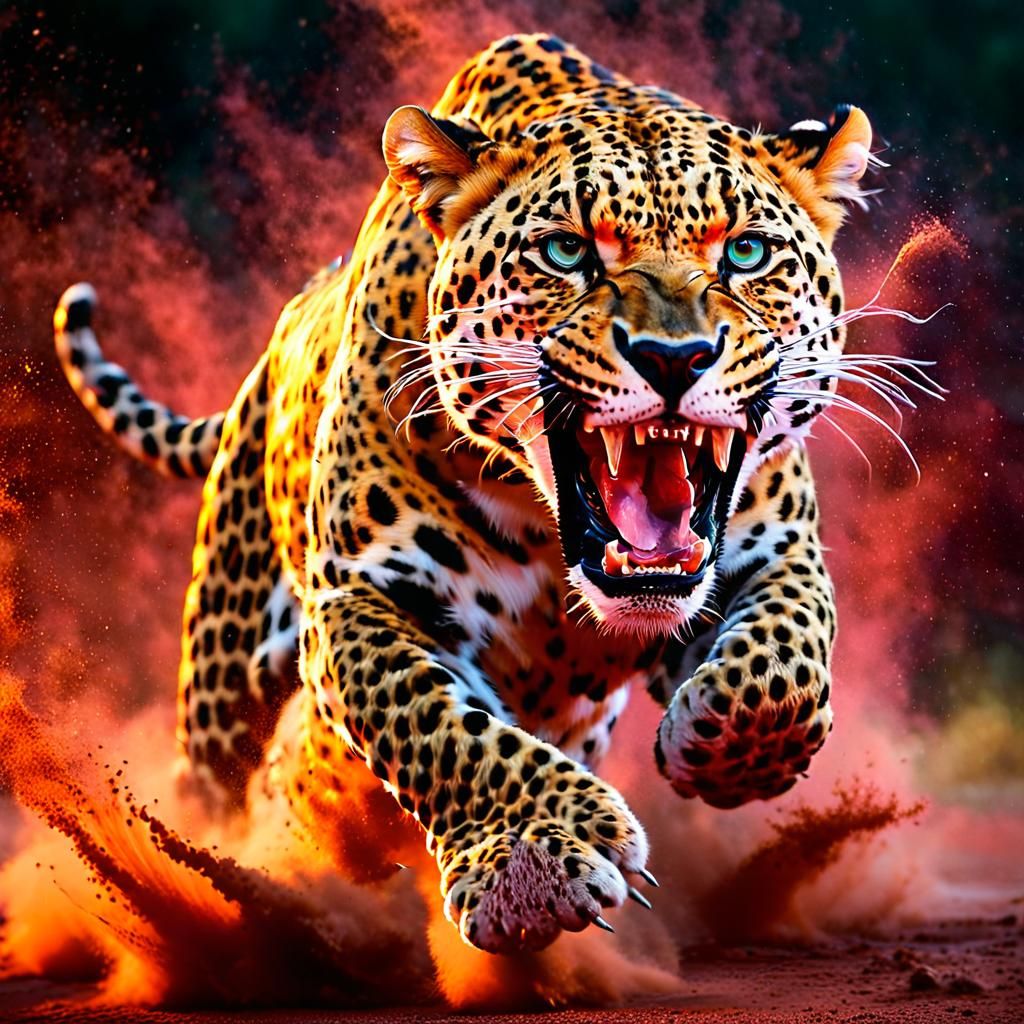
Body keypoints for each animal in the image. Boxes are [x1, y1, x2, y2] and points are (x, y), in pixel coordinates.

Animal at [53, 33, 881, 954]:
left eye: (745, 253)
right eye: (567, 252)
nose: (676, 357)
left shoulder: (780, 553)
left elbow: (785, 668)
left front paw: (728, 750)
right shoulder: (364, 595)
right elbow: (438, 728)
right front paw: (535, 859)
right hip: (222, 686)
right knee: (227, 788)